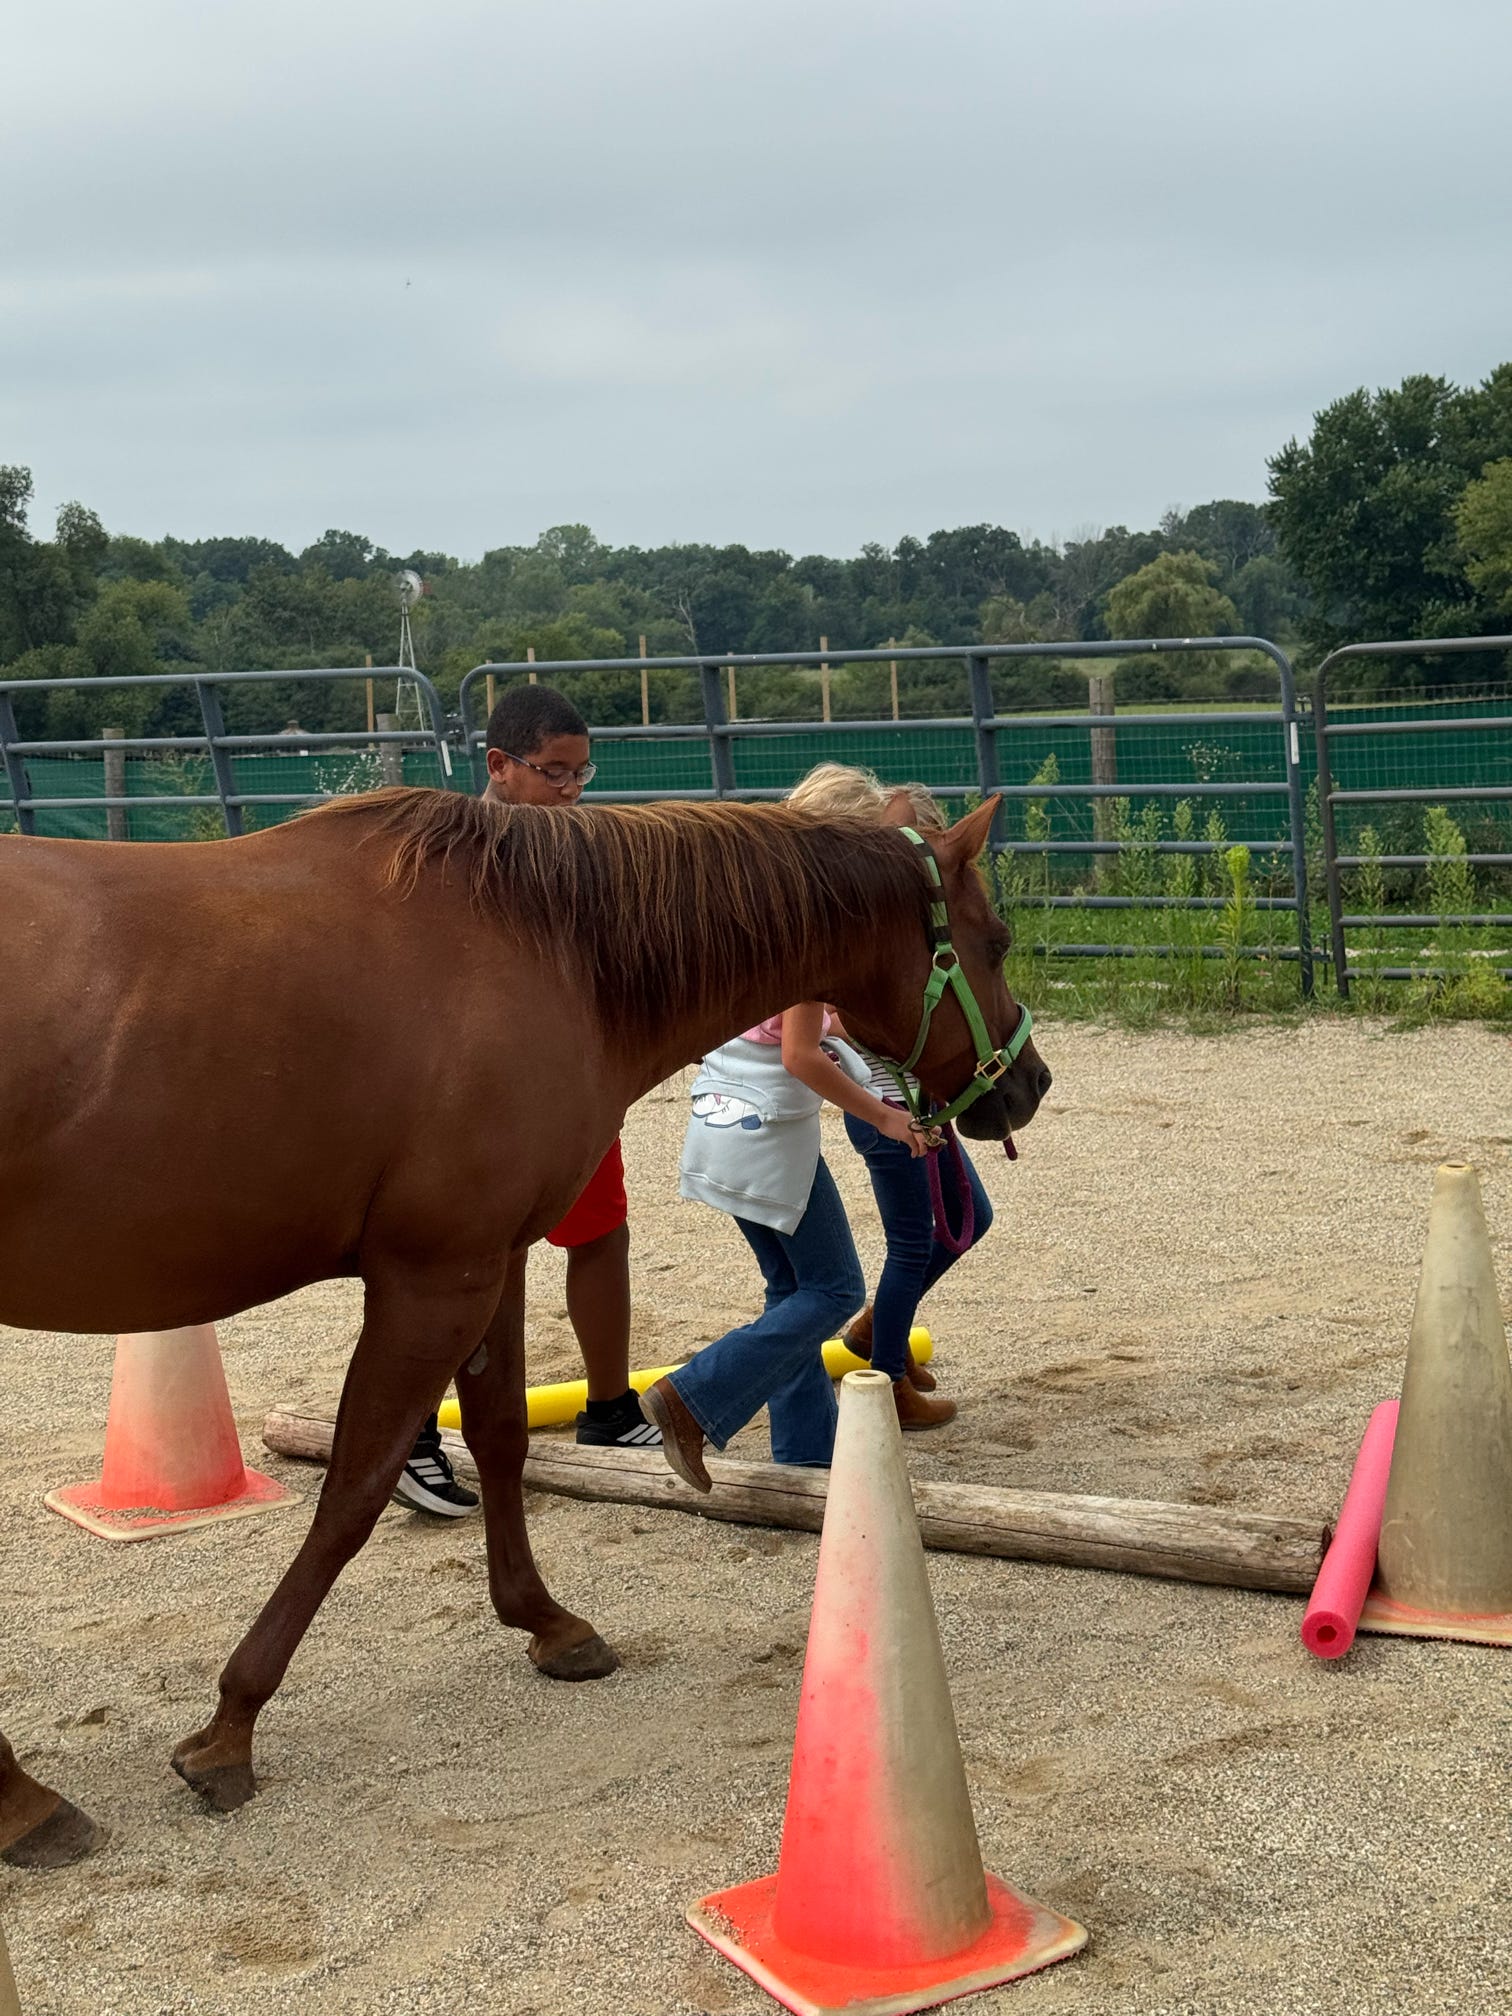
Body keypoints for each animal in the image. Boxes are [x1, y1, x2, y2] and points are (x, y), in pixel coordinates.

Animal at [0, 788, 1048, 1868]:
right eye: (997, 940)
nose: (1029, 1083)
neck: (543, 946)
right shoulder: (436, 1278)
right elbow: (354, 1490)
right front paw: (229, 1728)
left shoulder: (493, 1263)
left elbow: (499, 1436)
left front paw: (545, 1623)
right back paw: (28, 1805)